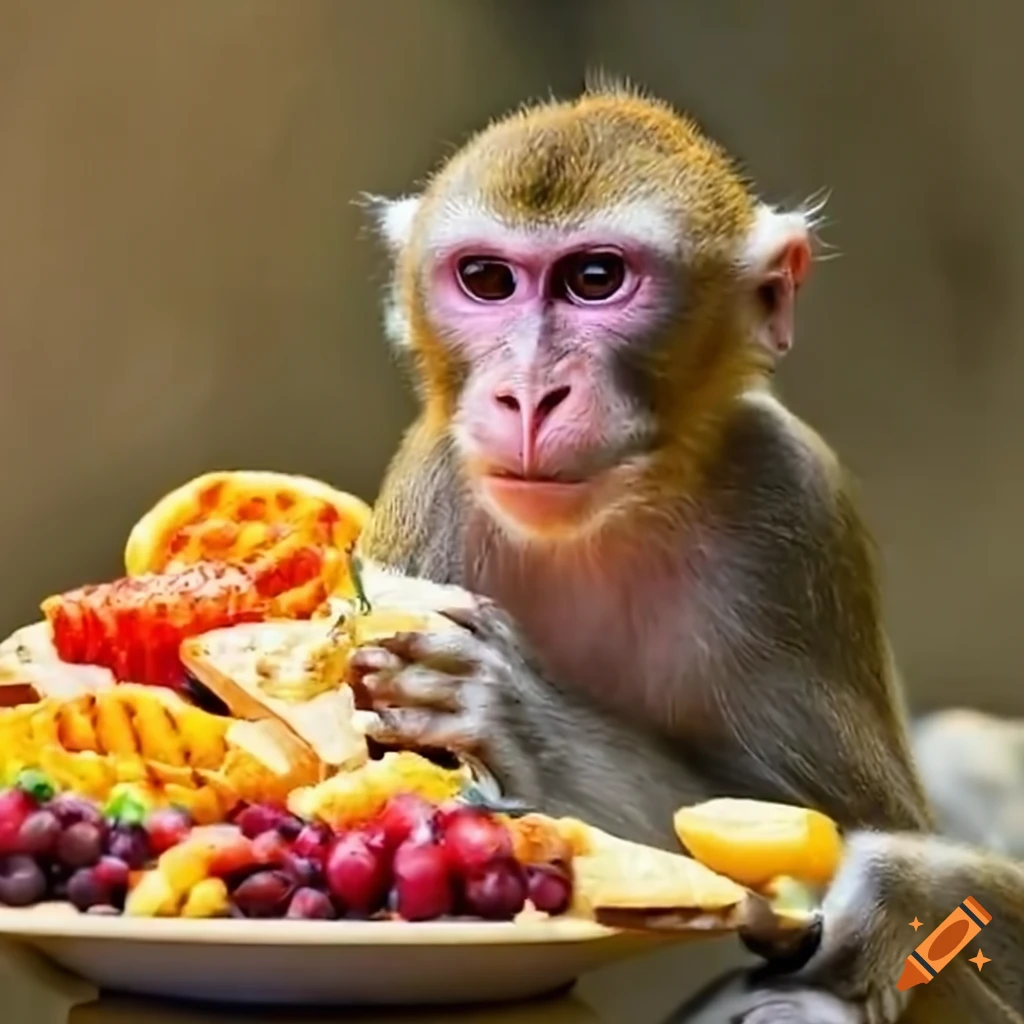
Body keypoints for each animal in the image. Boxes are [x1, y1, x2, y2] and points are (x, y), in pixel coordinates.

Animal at [348, 83, 1024, 1023]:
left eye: (595, 279)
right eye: (487, 280)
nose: (530, 394)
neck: (604, 525)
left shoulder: (794, 507)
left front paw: (520, 720)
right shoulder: (429, 502)